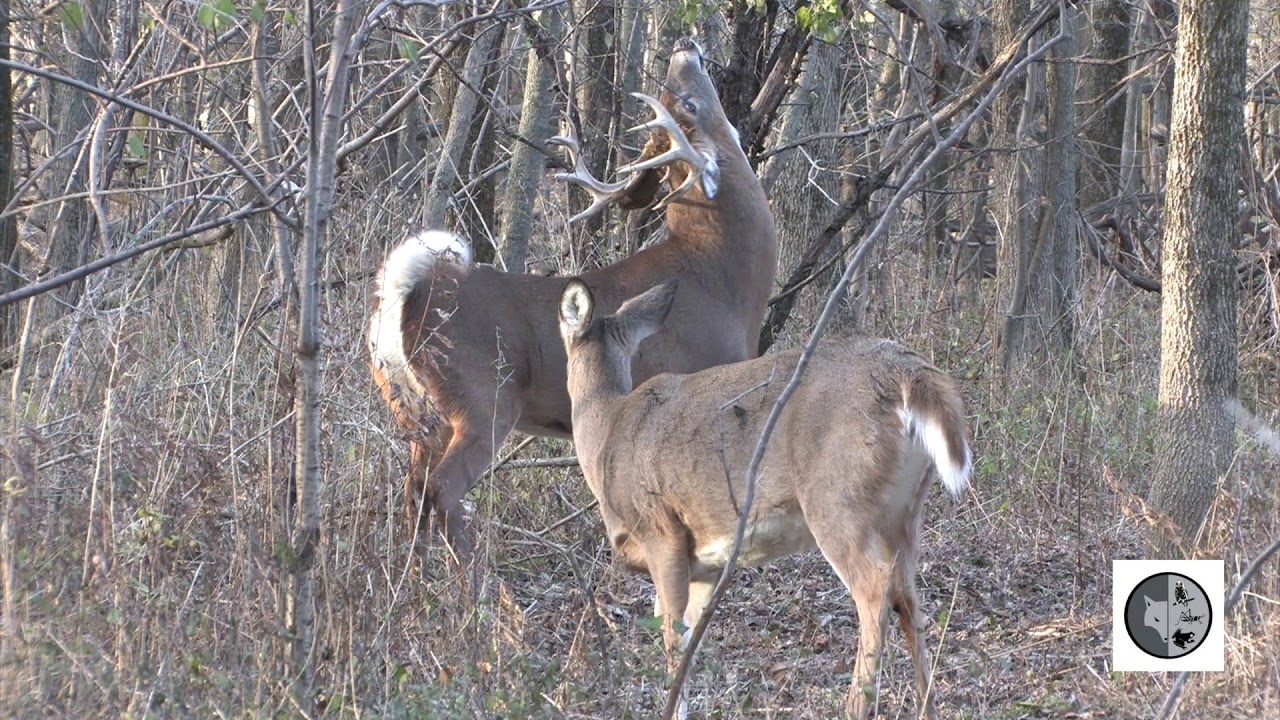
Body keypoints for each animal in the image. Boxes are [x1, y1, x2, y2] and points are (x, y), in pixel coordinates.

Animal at [368, 38, 778, 555]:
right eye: (688, 104)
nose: (685, 46)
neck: (725, 281)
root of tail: (407, 298)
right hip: (482, 399)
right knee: (442, 488)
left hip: (411, 407)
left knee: (412, 489)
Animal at [556, 279, 973, 720]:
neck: (607, 435)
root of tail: (907, 372)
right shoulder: (704, 563)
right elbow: (690, 644)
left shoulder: (660, 528)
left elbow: (671, 636)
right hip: (904, 511)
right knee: (908, 598)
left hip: (836, 498)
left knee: (875, 589)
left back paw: (856, 703)